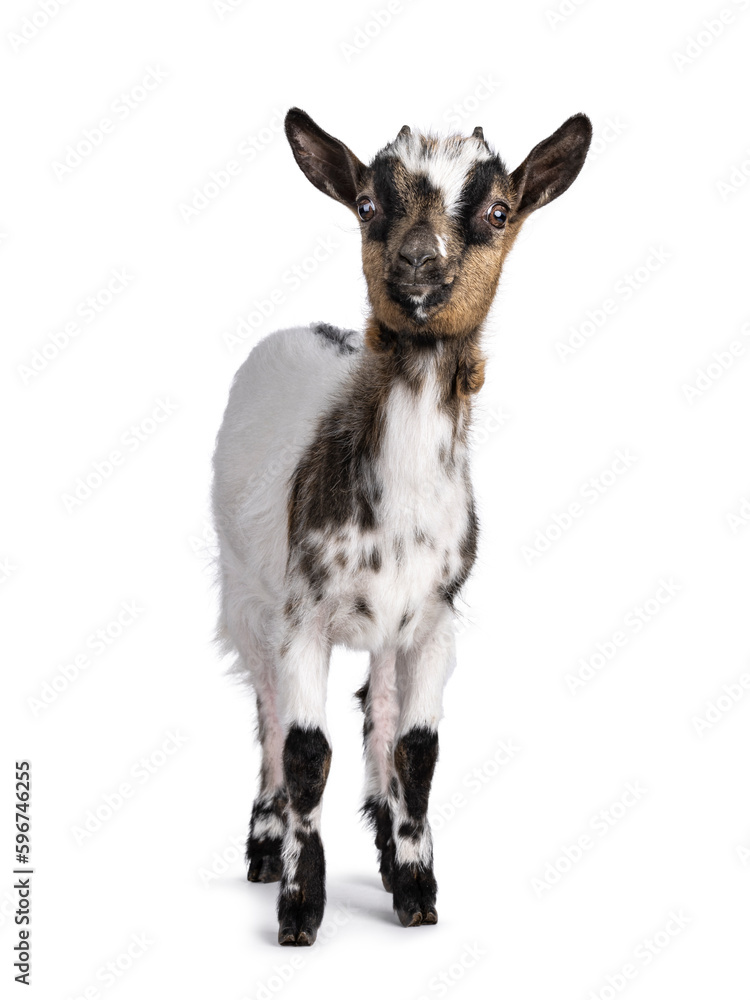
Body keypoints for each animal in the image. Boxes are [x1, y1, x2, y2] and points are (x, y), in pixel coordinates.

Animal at [212, 107, 591, 945]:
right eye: (366, 204)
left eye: (498, 212)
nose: (419, 260)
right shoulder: (303, 615)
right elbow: (305, 750)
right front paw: (299, 905)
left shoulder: (435, 619)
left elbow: (416, 750)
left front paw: (417, 888)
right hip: (243, 592)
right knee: (266, 712)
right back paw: (264, 843)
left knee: (378, 717)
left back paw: (387, 849)